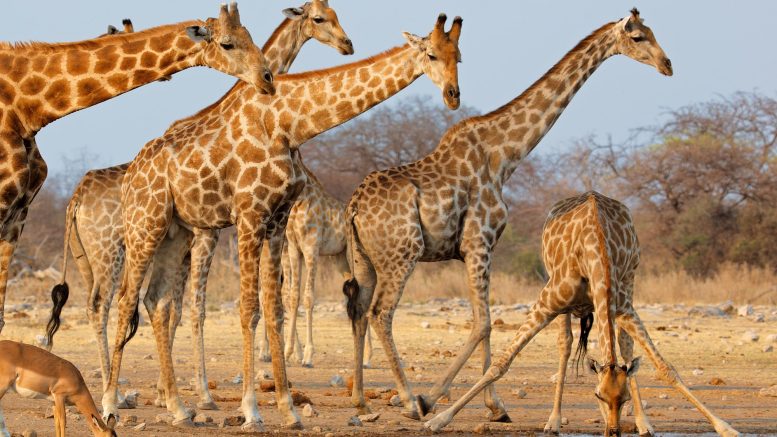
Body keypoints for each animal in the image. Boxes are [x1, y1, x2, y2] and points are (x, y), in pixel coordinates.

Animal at [45, 0, 354, 413]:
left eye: (336, 14)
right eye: (320, 18)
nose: (347, 44)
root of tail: (75, 198)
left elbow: (172, 309)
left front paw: (172, 393)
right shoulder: (208, 236)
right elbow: (191, 308)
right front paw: (200, 394)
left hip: (87, 258)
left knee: (98, 304)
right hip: (112, 250)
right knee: (105, 304)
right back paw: (114, 394)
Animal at [101, 14, 463, 431]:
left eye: (459, 57)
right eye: (431, 54)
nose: (453, 95)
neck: (288, 123)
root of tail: (131, 172)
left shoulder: (276, 222)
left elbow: (274, 307)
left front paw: (288, 409)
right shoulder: (249, 216)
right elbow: (248, 308)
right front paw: (250, 409)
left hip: (175, 232)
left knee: (157, 302)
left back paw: (178, 408)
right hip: (144, 224)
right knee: (127, 299)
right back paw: (111, 404)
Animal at [341, 8, 673, 422]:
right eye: (639, 37)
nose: (667, 64)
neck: (503, 155)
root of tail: (353, 207)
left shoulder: (481, 249)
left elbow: (485, 322)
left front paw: (493, 405)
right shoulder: (478, 242)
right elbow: (483, 323)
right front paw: (436, 400)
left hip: (364, 258)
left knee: (358, 310)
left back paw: (360, 400)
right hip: (402, 254)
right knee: (381, 313)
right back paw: (407, 399)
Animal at [424, 192, 740, 437]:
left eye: (623, 398)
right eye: (597, 395)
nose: (613, 431)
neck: (594, 253)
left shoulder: (623, 307)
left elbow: (666, 368)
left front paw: (725, 426)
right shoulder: (546, 303)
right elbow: (501, 363)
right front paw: (437, 419)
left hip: (628, 285)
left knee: (623, 348)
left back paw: (643, 424)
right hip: (559, 297)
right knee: (565, 346)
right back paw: (552, 421)